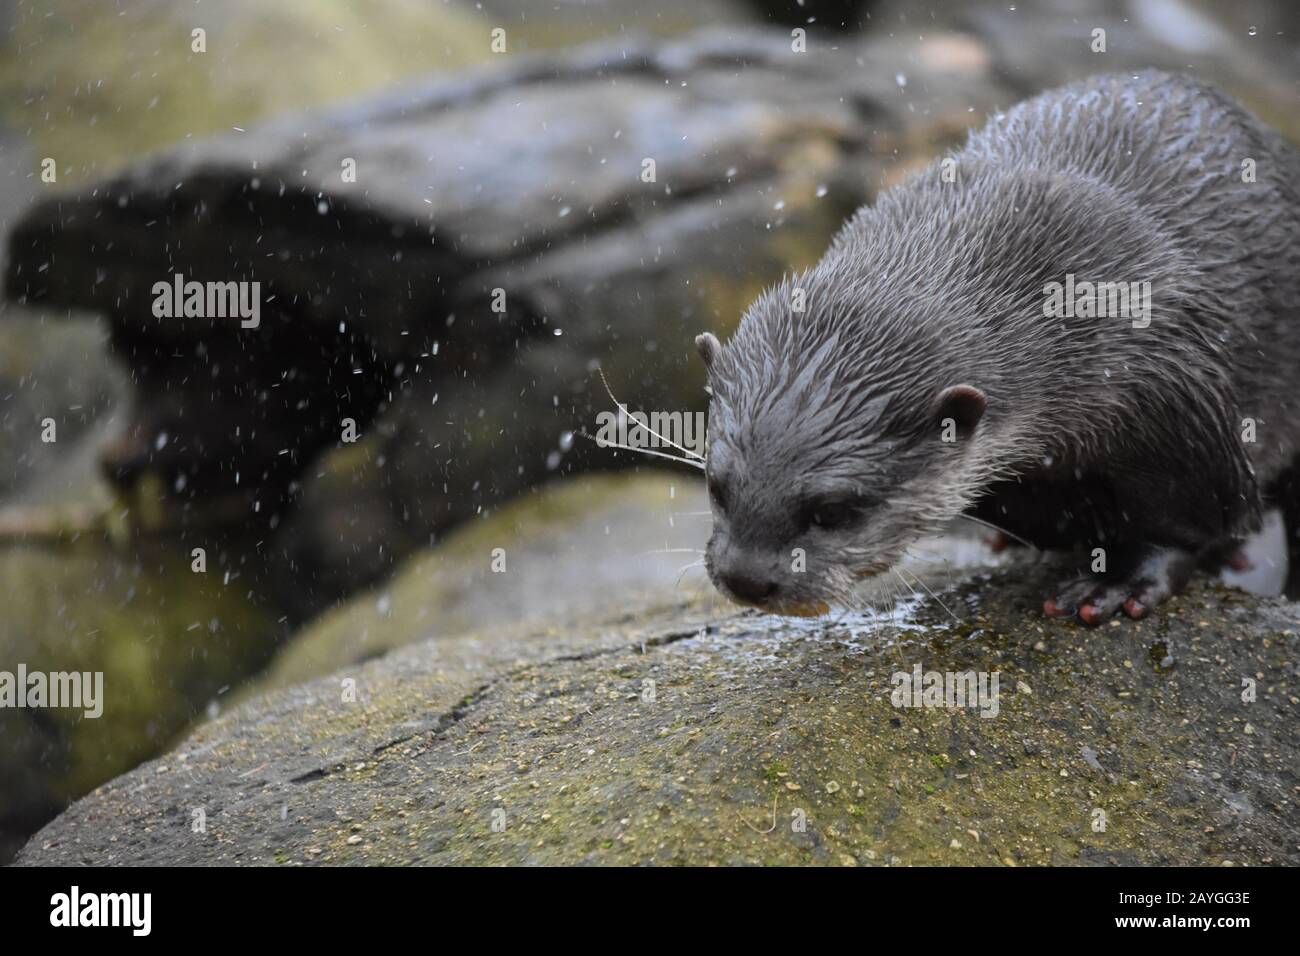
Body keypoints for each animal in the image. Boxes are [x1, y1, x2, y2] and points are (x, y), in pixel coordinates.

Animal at [695, 71, 1300, 625]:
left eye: (832, 510)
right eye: (716, 486)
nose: (746, 578)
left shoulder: (1172, 385)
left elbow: (1192, 512)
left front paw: (1121, 580)